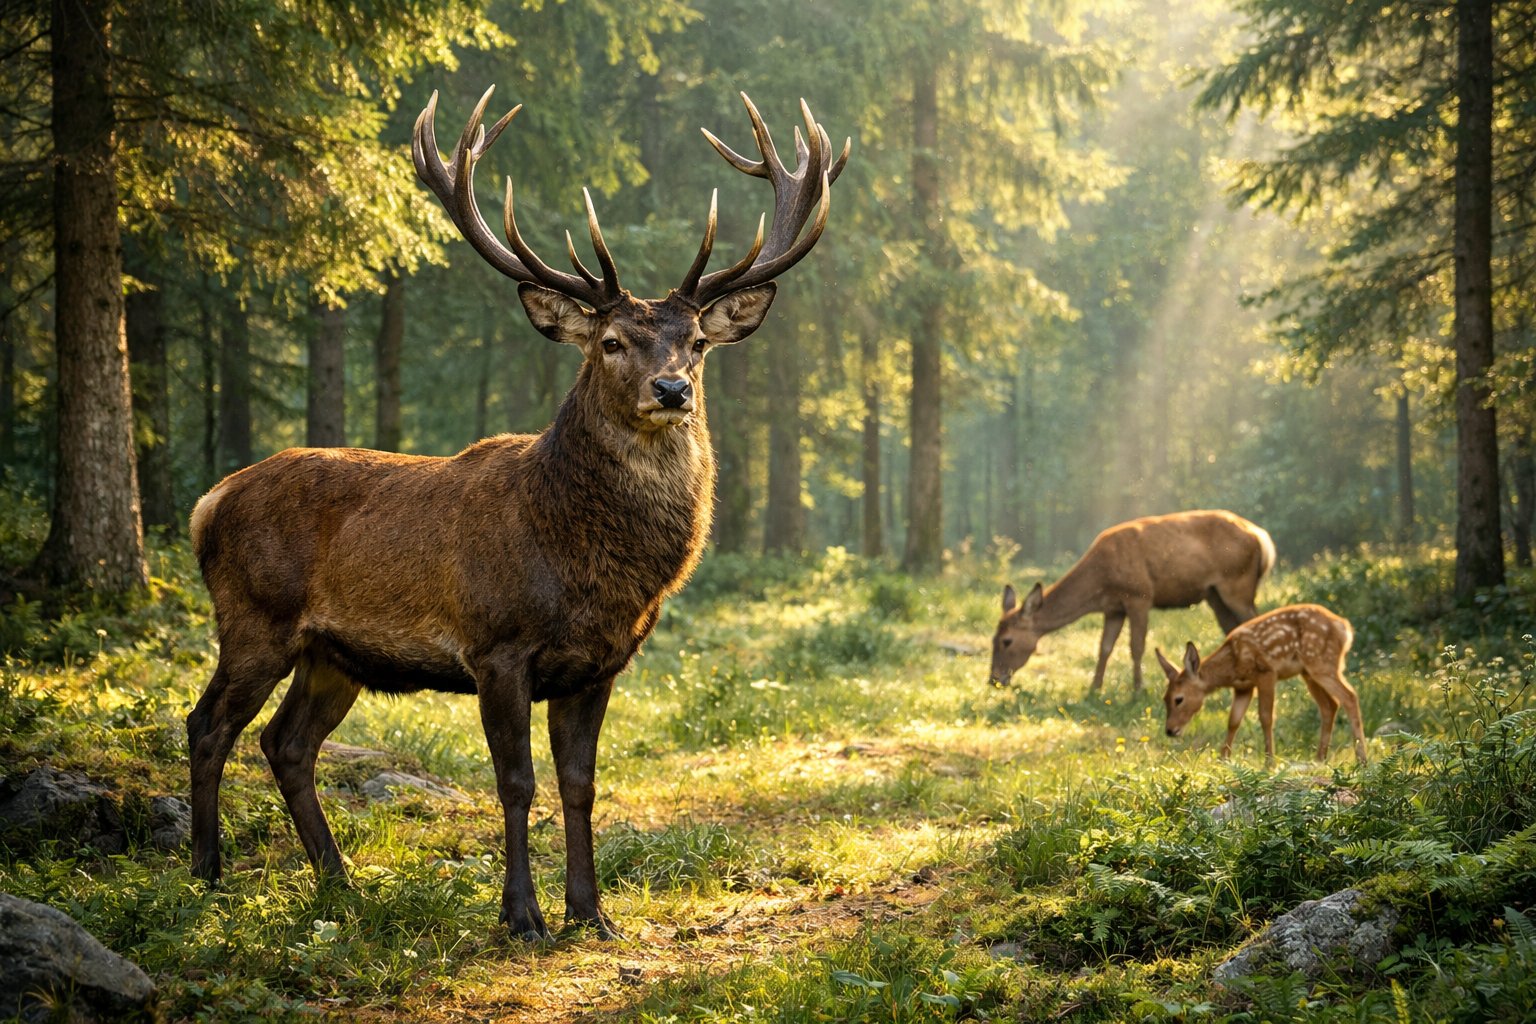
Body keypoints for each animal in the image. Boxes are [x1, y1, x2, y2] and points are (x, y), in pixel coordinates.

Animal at [185, 87, 847, 941]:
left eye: (698, 341)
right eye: (611, 341)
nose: (672, 390)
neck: (585, 566)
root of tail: (208, 503)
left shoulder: (598, 664)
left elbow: (580, 784)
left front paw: (591, 914)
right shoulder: (495, 646)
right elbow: (517, 783)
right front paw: (523, 916)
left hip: (333, 654)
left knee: (286, 743)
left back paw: (341, 886)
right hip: (254, 618)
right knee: (210, 725)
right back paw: (206, 874)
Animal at [989, 510, 1275, 693]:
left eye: (1007, 641)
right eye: (993, 638)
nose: (994, 680)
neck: (1100, 583)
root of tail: (1262, 538)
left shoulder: (1139, 596)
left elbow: (1136, 646)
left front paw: (1138, 690)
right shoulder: (1113, 608)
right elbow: (1104, 647)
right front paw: (1094, 688)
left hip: (1237, 584)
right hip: (1215, 595)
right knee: (1232, 629)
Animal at [1156, 603, 1367, 764]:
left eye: (1179, 699)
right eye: (1164, 698)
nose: (1170, 730)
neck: (1233, 665)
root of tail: (1344, 628)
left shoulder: (1266, 673)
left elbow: (1266, 717)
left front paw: (1269, 762)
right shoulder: (1243, 687)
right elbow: (1233, 721)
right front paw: (1223, 759)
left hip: (1321, 663)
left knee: (1349, 696)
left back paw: (1361, 759)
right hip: (1308, 671)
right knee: (1330, 705)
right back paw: (1320, 758)